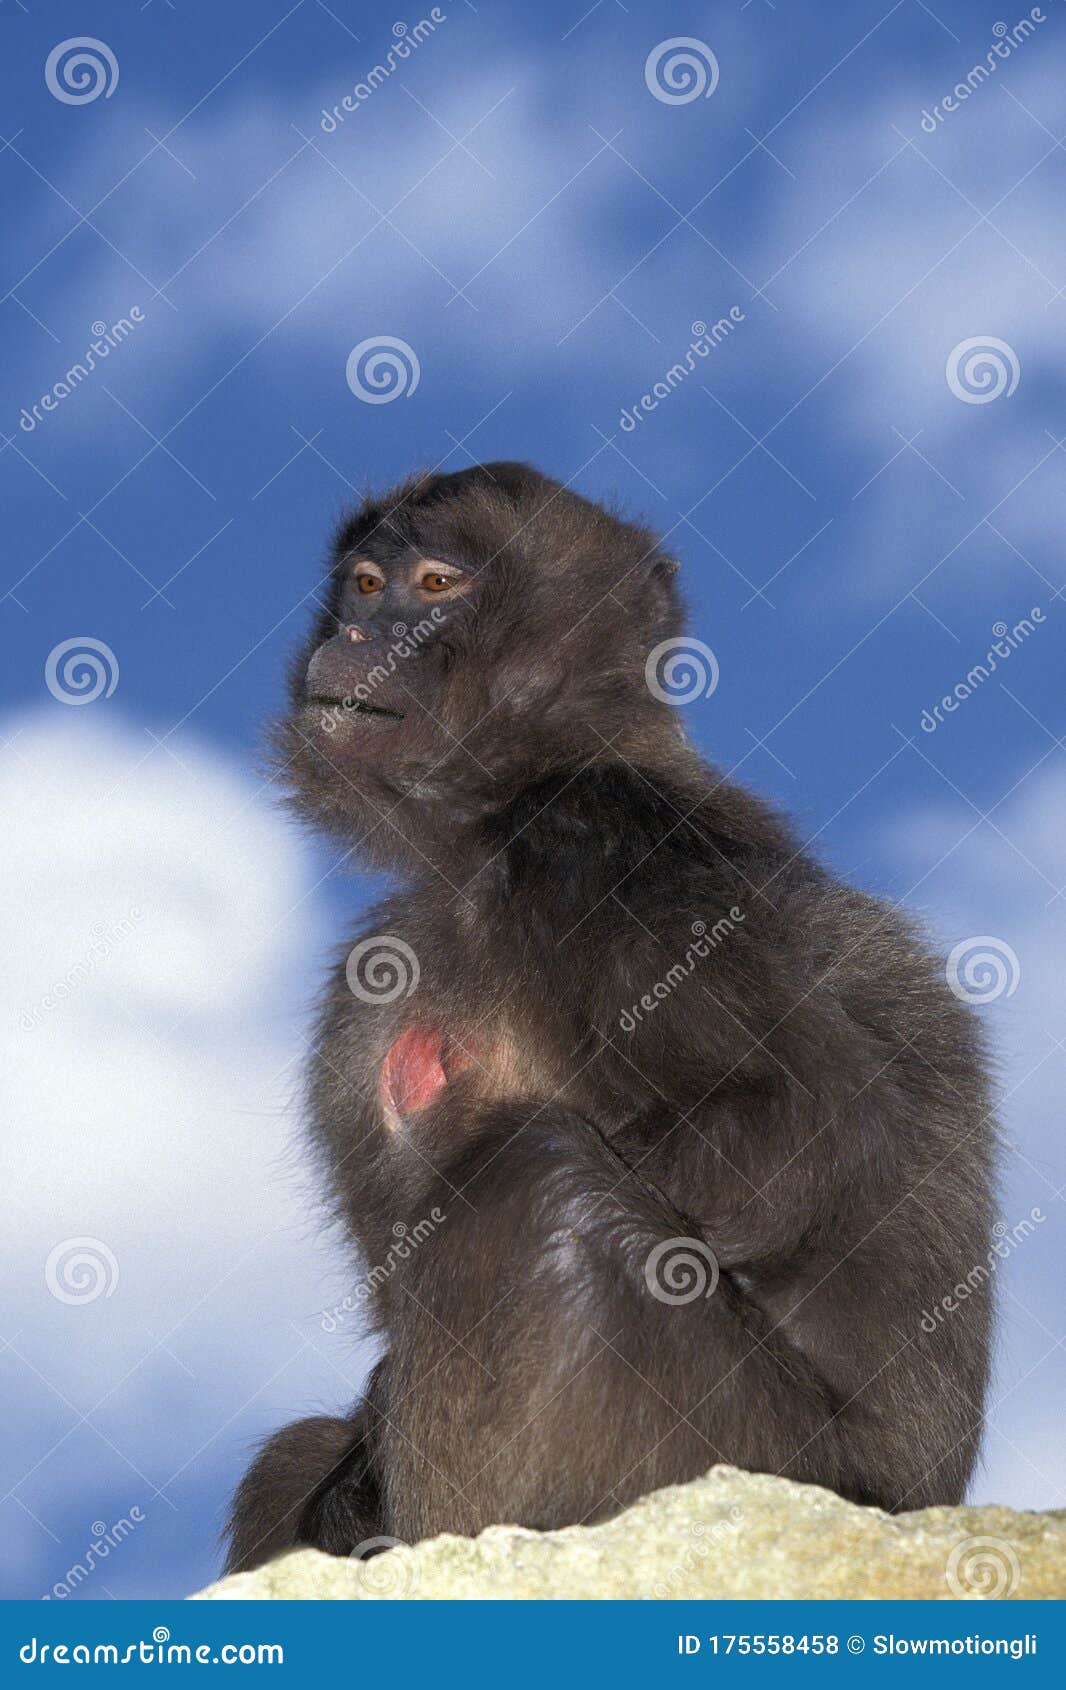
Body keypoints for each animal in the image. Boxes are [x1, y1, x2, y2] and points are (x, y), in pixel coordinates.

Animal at [224, 461, 995, 1573]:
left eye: (436, 583)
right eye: (366, 584)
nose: (363, 632)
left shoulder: (604, 846)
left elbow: (808, 1121)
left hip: (751, 1461)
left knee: (544, 1180)